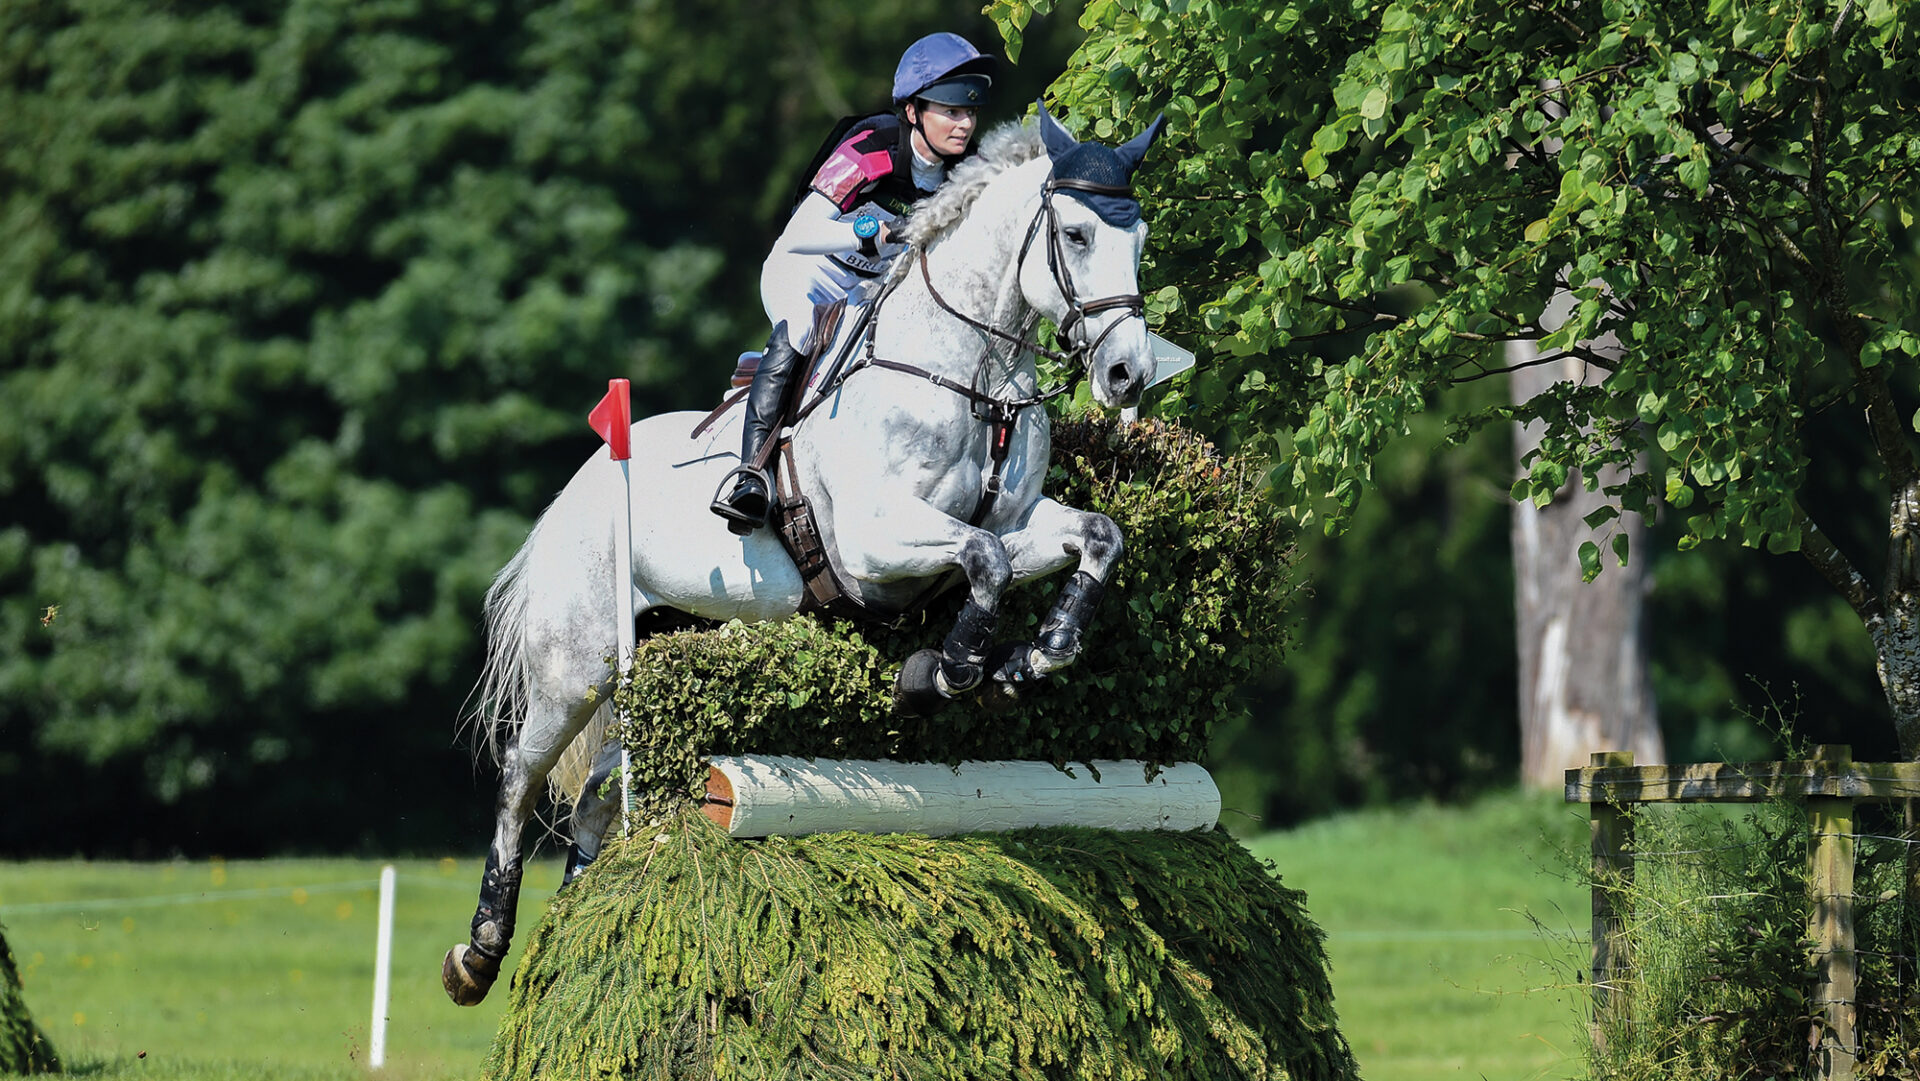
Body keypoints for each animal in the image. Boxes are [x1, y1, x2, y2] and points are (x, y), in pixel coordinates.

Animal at [441, 106, 1165, 1006]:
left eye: (1140, 239)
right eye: (1075, 232)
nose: (1129, 374)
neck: (972, 373)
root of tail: (574, 491)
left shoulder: (1023, 518)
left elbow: (1092, 536)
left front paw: (1035, 656)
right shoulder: (872, 541)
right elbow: (984, 560)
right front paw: (950, 670)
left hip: (671, 647)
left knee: (598, 798)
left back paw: (584, 907)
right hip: (577, 664)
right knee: (520, 774)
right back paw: (479, 951)